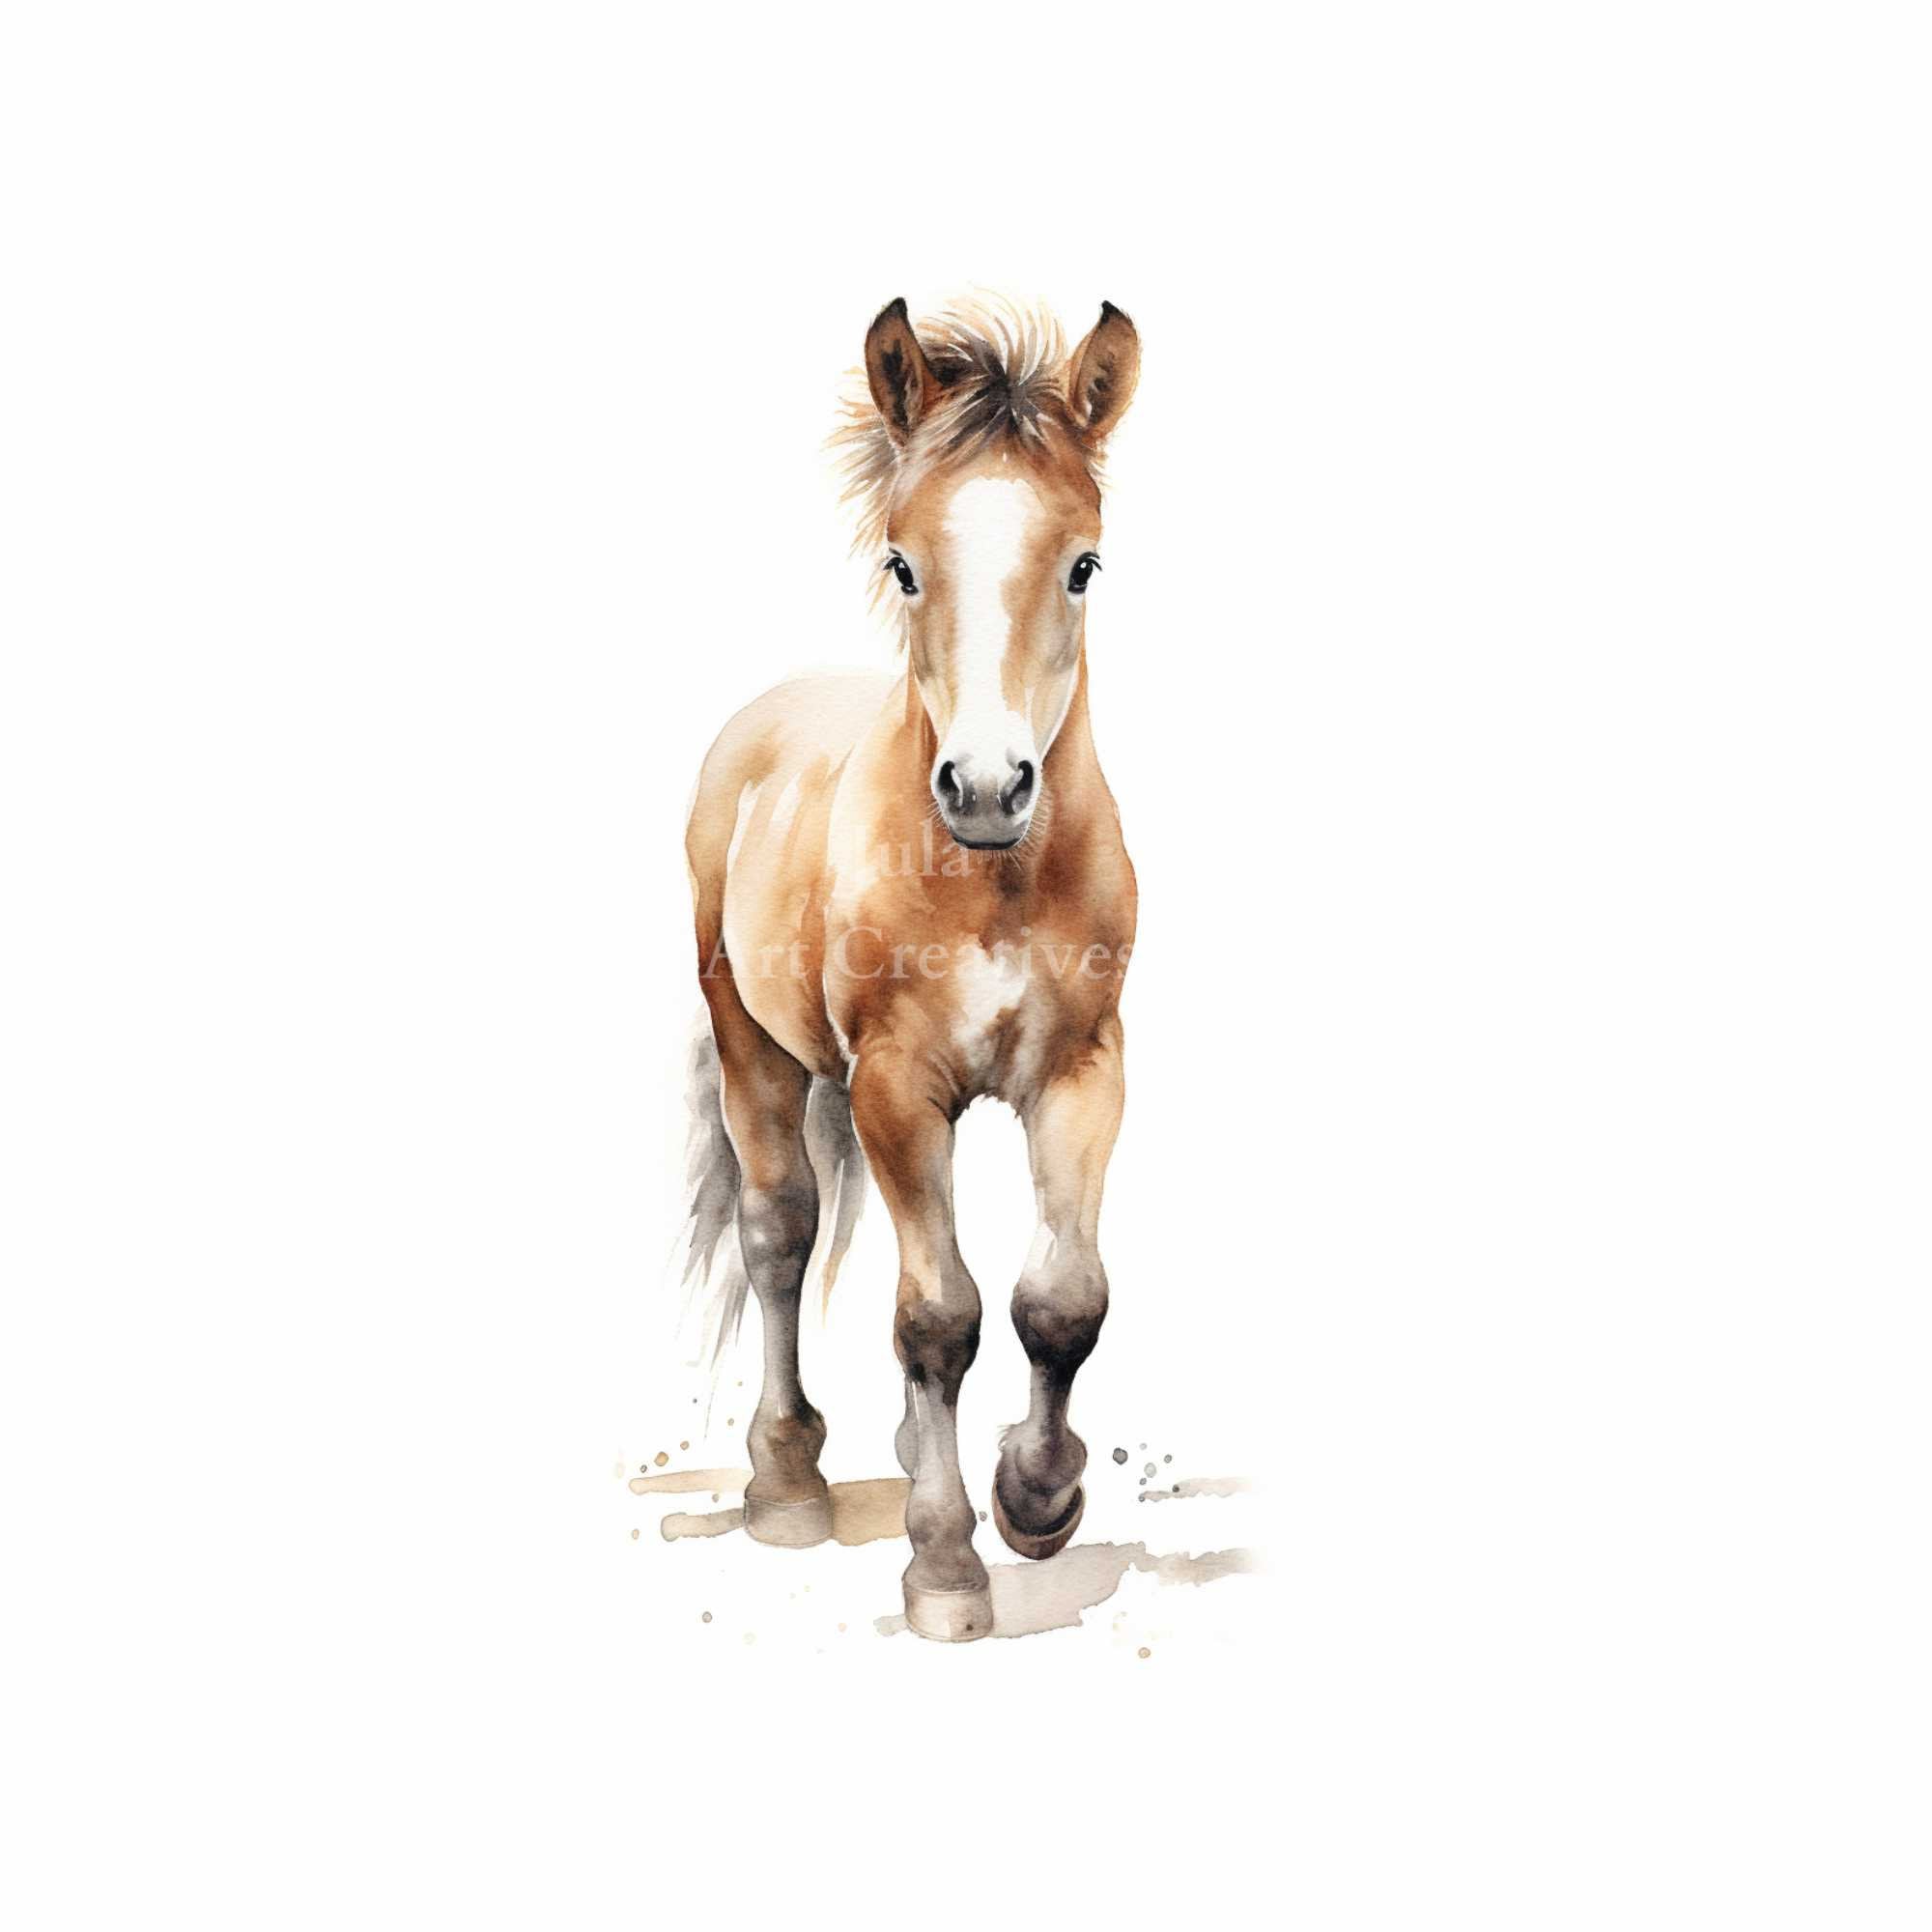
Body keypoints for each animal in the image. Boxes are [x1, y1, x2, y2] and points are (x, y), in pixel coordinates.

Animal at [681, 295, 1141, 1641]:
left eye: (1083, 563)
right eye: (902, 562)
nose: (985, 788)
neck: (991, 881)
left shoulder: (1083, 1070)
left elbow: (1061, 1301)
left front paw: (1037, 1499)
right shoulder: (895, 1087)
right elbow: (937, 1318)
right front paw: (944, 1564)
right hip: (752, 1046)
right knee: (778, 1231)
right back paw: (786, 1479)